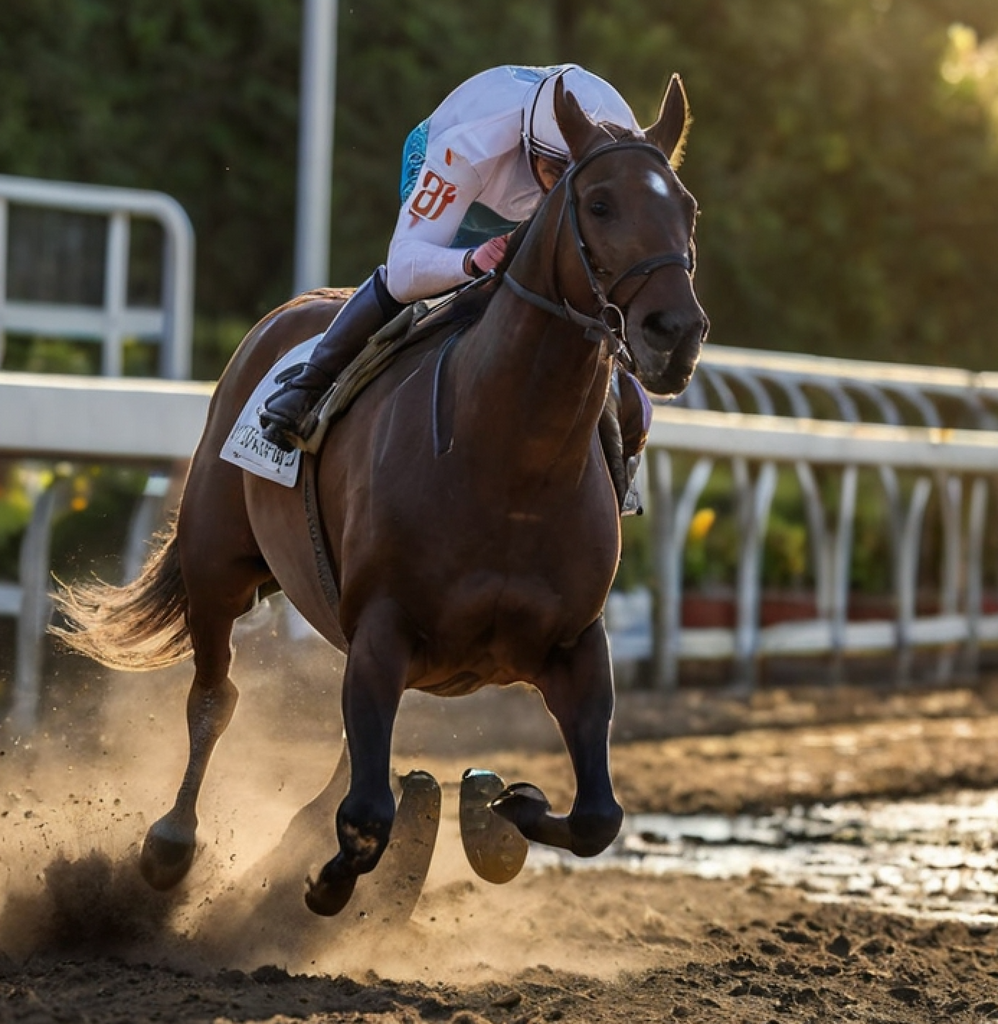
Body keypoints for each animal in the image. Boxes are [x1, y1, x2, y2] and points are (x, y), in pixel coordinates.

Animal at [53, 75, 708, 918]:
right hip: (216, 563)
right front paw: (323, 880)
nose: (675, 332)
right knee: (214, 699)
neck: (512, 466)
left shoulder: (574, 643)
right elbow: (365, 817)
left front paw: (505, 810)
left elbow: (598, 815)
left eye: (687, 207)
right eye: (598, 203)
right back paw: (172, 844)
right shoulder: (383, 627)